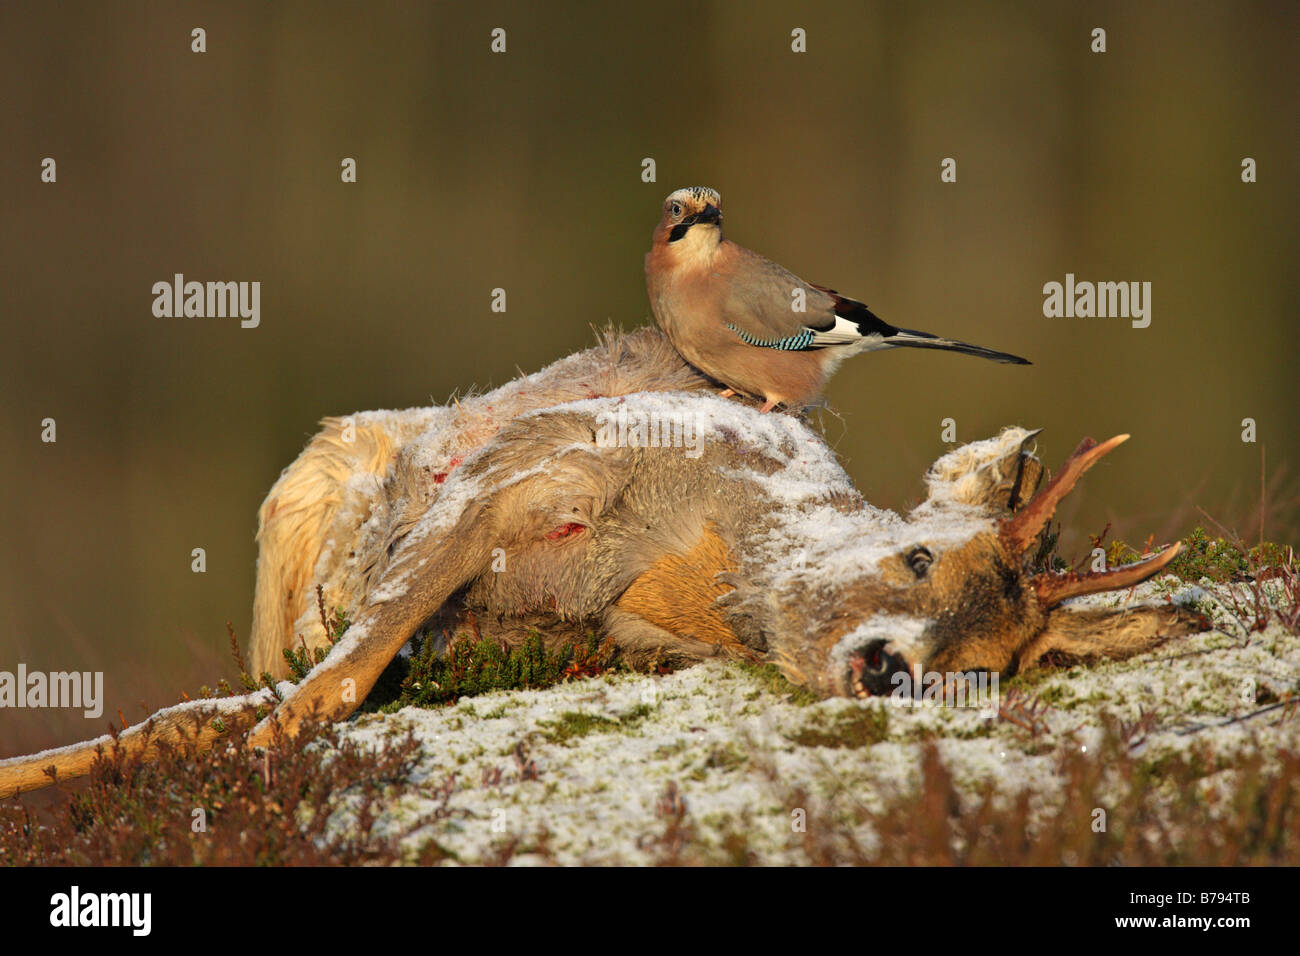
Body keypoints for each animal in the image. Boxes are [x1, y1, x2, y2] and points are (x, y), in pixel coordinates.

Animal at [0, 327, 1200, 795]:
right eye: (915, 558)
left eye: (981, 665)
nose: (886, 668)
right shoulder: (532, 470)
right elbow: (332, 680)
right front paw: (254, 770)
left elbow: (256, 704)